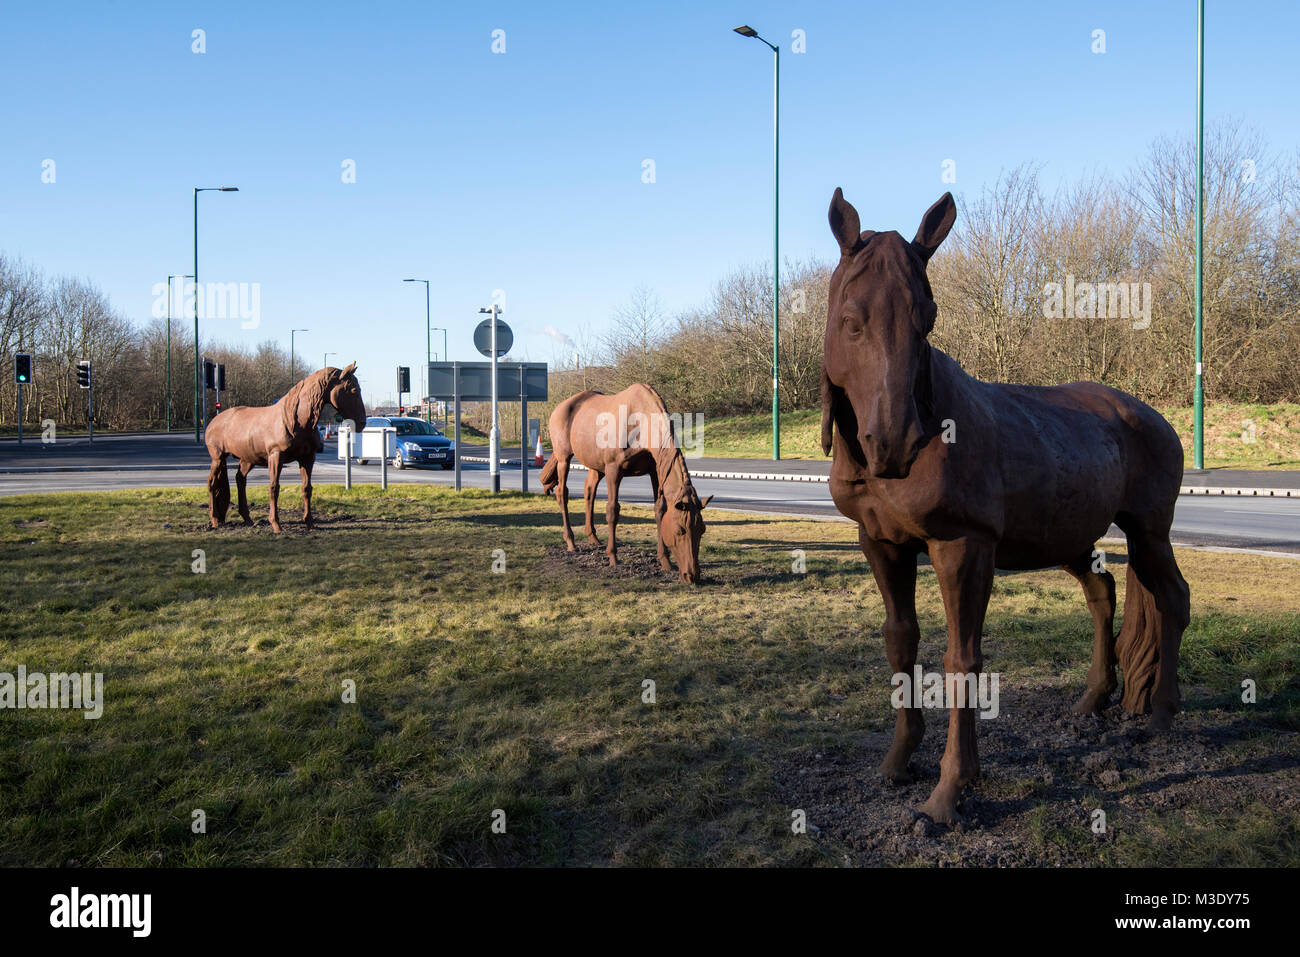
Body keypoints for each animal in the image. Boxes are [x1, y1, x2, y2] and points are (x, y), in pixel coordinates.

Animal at [205, 363, 367, 532]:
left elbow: (306, 488)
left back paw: (248, 519)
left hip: (248, 459)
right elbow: (274, 488)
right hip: (218, 458)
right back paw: (215, 519)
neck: (295, 420)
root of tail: (215, 421)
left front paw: (309, 522)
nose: (362, 423)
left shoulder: (307, 458)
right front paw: (276, 524)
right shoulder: (276, 457)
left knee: (240, 480)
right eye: (354, 390)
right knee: (212, 483)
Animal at [539, 384, 711, 584]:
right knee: (562, 493)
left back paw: (593, 538)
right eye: (680, 530)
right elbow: (612, 511)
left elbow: (660, 510)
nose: (692, 576)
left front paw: (665, 561)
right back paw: (571, 542)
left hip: (596, 466)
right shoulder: (614, 470)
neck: (641, 423)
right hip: (563, 458)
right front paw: (613, 557)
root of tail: (559, 407)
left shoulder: (655, 471)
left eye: (702, 529)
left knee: (589, 491)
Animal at [821, 188, 1190, 825]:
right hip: (1070, 536)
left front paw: (949, 791)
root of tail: (1153, 417)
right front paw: (898, 761)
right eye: (851, 320)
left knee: (1171, 599)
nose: (894, 444)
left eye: (927, 319)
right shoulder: (881, 543)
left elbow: (962, 658)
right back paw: (1093, 699)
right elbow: (900, 639)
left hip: (1148, 531)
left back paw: (1162, 715)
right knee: (1102, 593)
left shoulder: (963, 546)